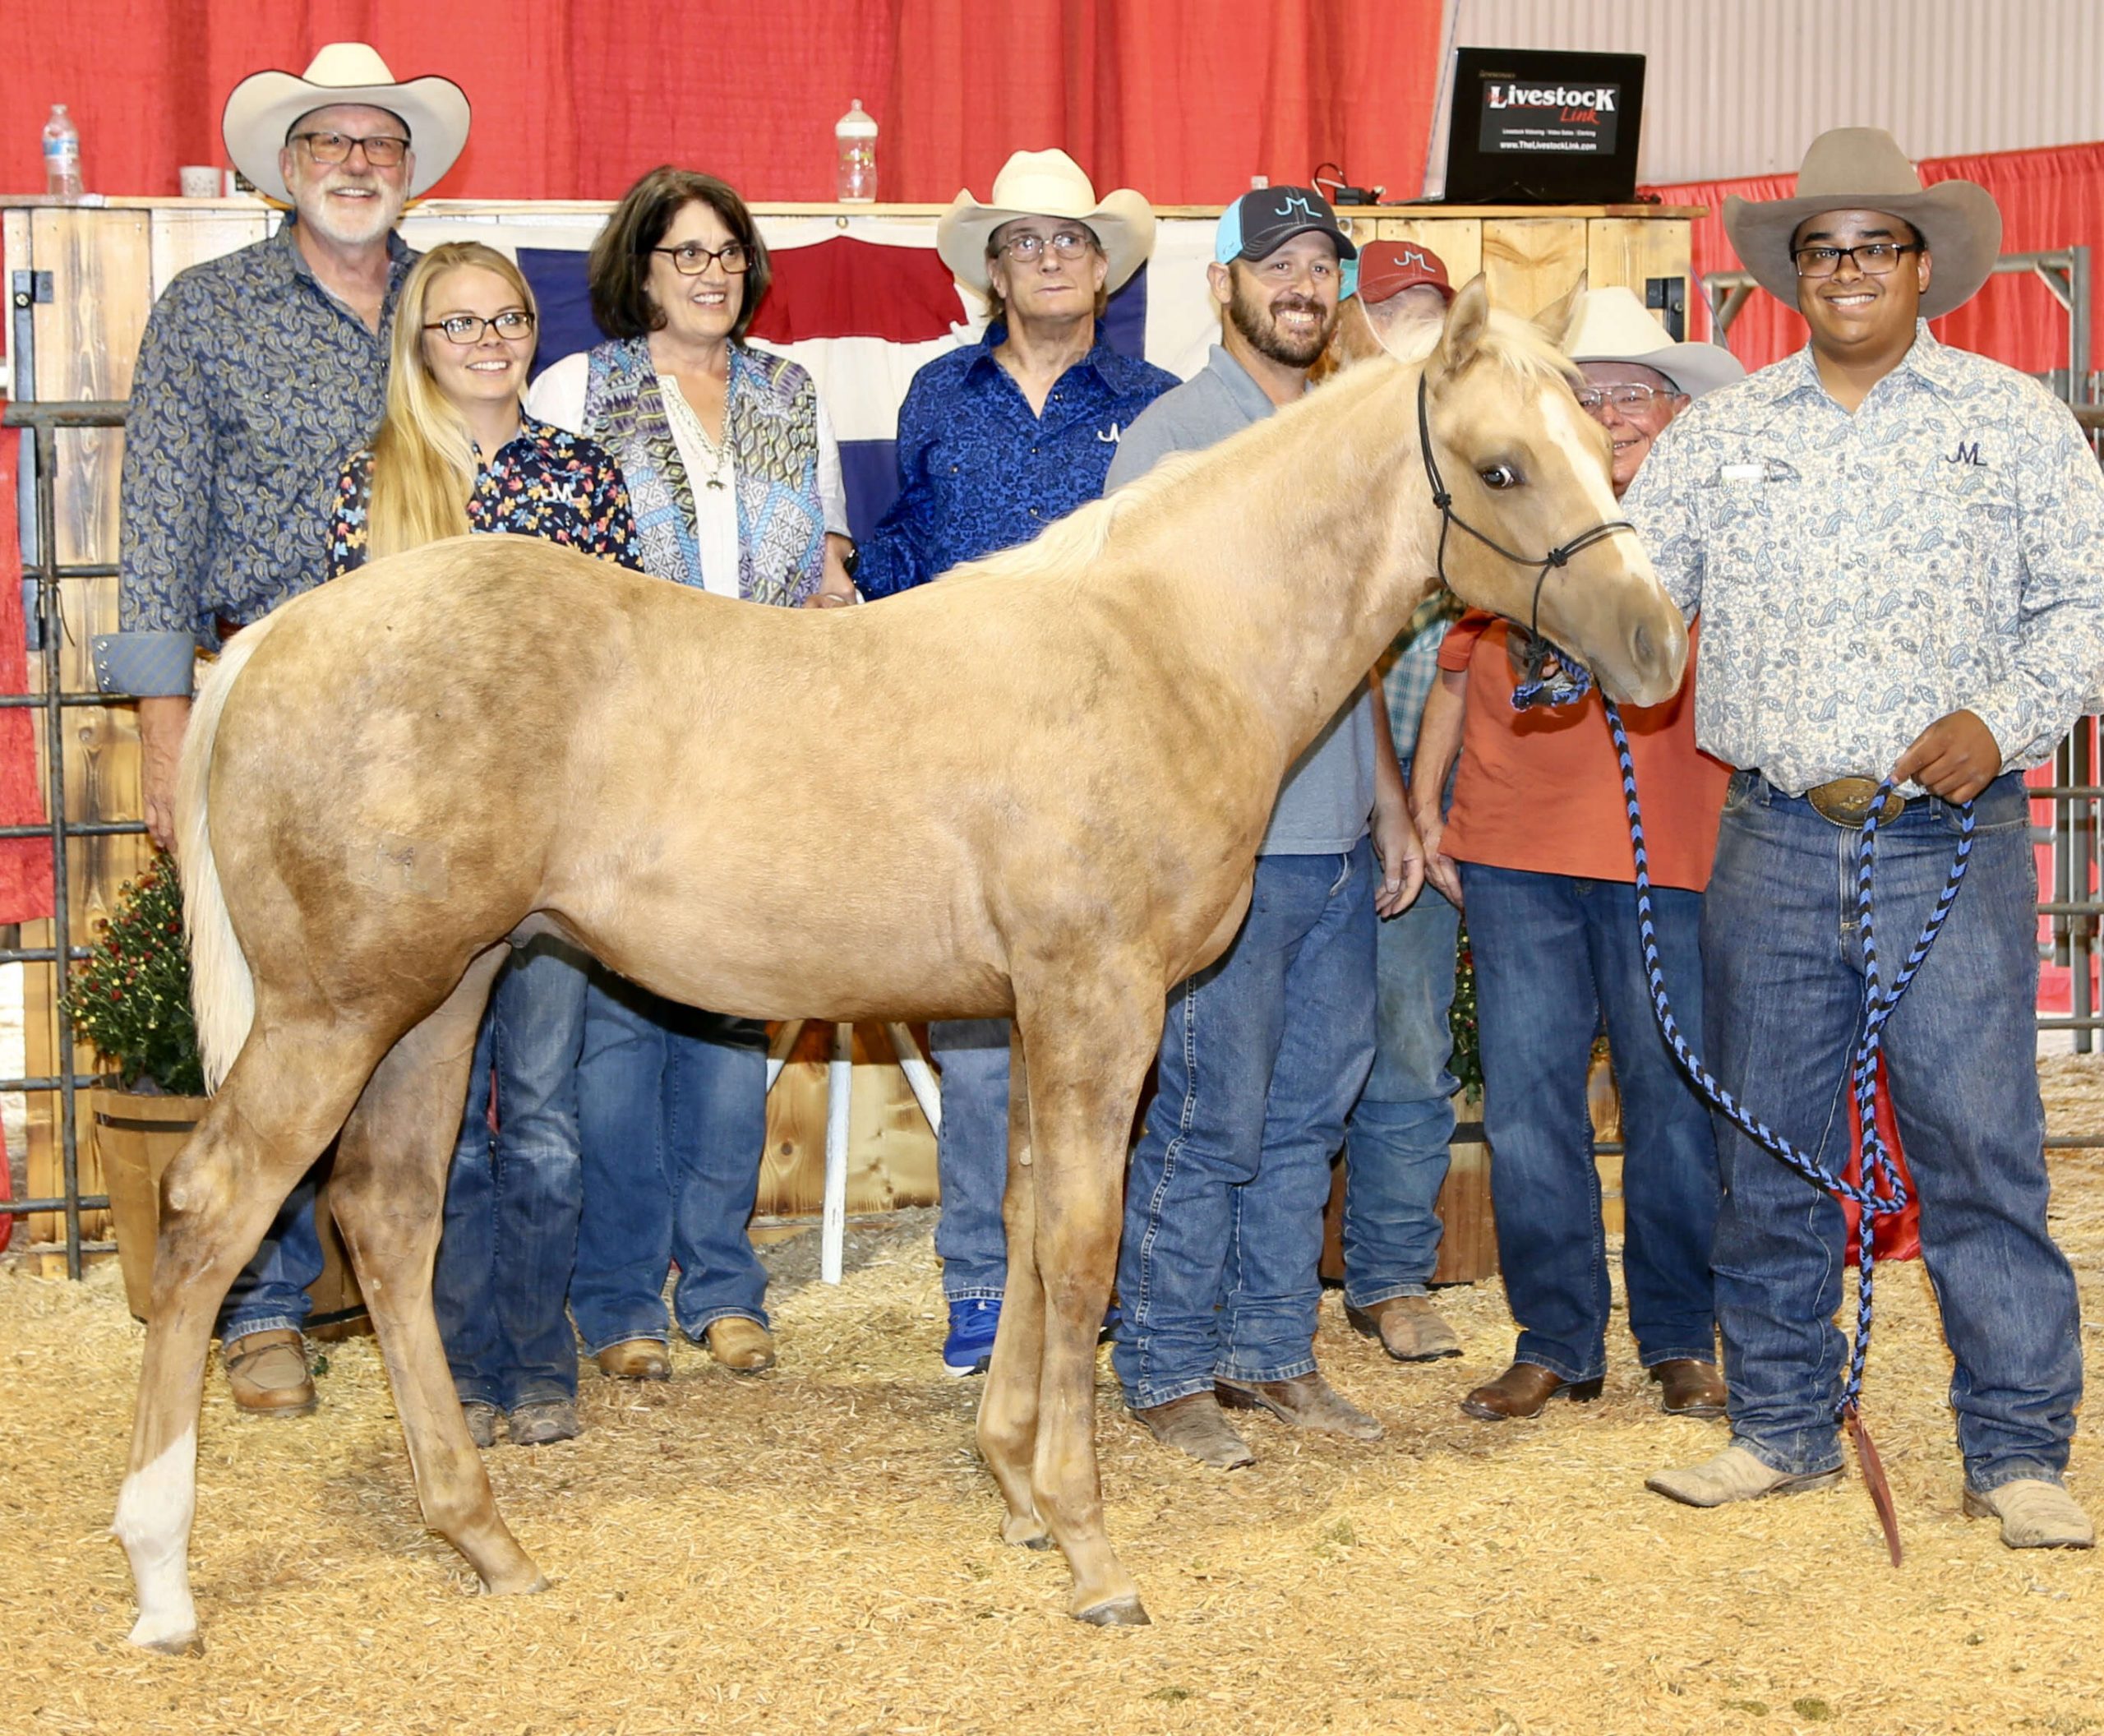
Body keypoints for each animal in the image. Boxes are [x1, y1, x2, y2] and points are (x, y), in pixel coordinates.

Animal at [112, 277, 1686, 1651]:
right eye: (1500, 468)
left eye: (1596, 438)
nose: (1658, 646)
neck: (1163, 648)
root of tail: (274, 641)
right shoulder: (1102, 1005)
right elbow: (1086, 1246)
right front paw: (1091, 1548)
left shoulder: (1039, 1018)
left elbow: (1034, 1221)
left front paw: (1016, 1487)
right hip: (335, 1014)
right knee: (212, 1210)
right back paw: (163, 1577)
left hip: (439, 1001)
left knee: (387, 1218)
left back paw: (485, 1536)